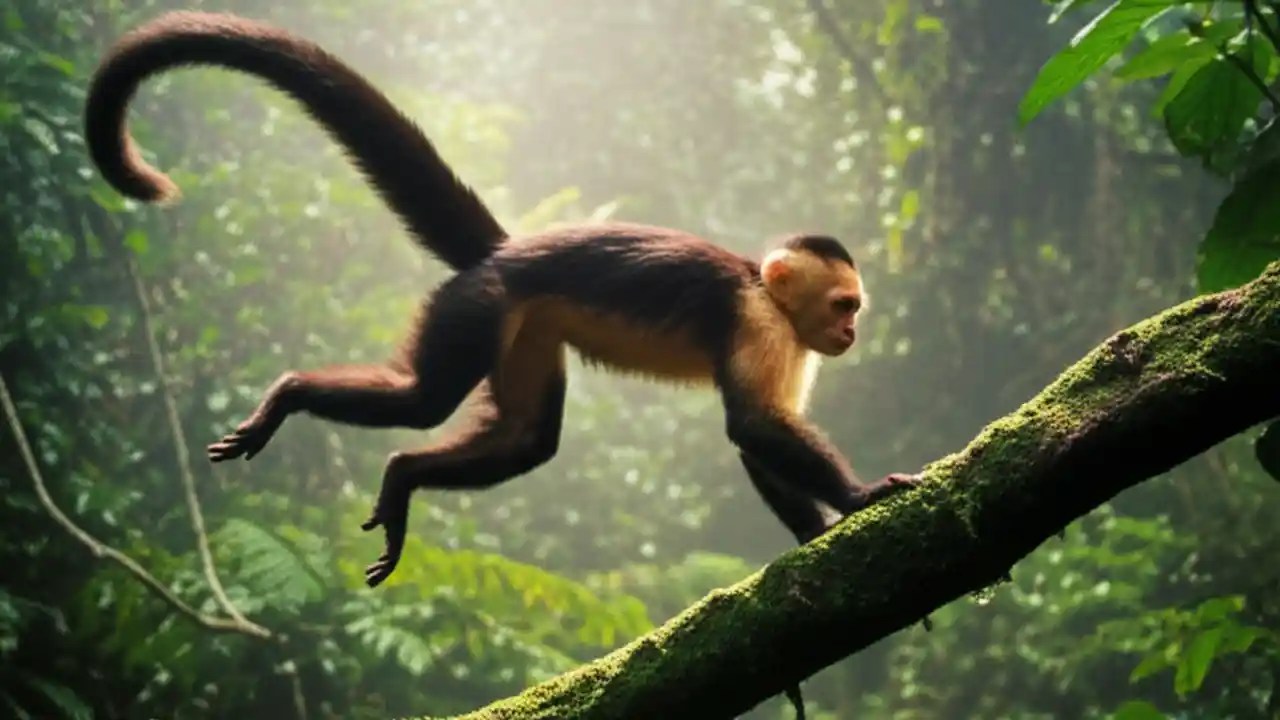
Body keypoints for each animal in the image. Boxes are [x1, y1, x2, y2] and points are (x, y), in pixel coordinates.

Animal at [84, 11, 923, 593]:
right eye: (845, 305)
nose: (852, 334)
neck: (766, 292)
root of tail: (504, 252)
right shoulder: (757, 321)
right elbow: (752, 423)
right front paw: (857, 499)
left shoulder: (791, 343)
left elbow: (755, 436)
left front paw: (816, 533)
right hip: (476, 307)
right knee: (422, 400)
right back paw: (290, 398)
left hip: (526, 328)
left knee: (525, 439)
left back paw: (404, 477)